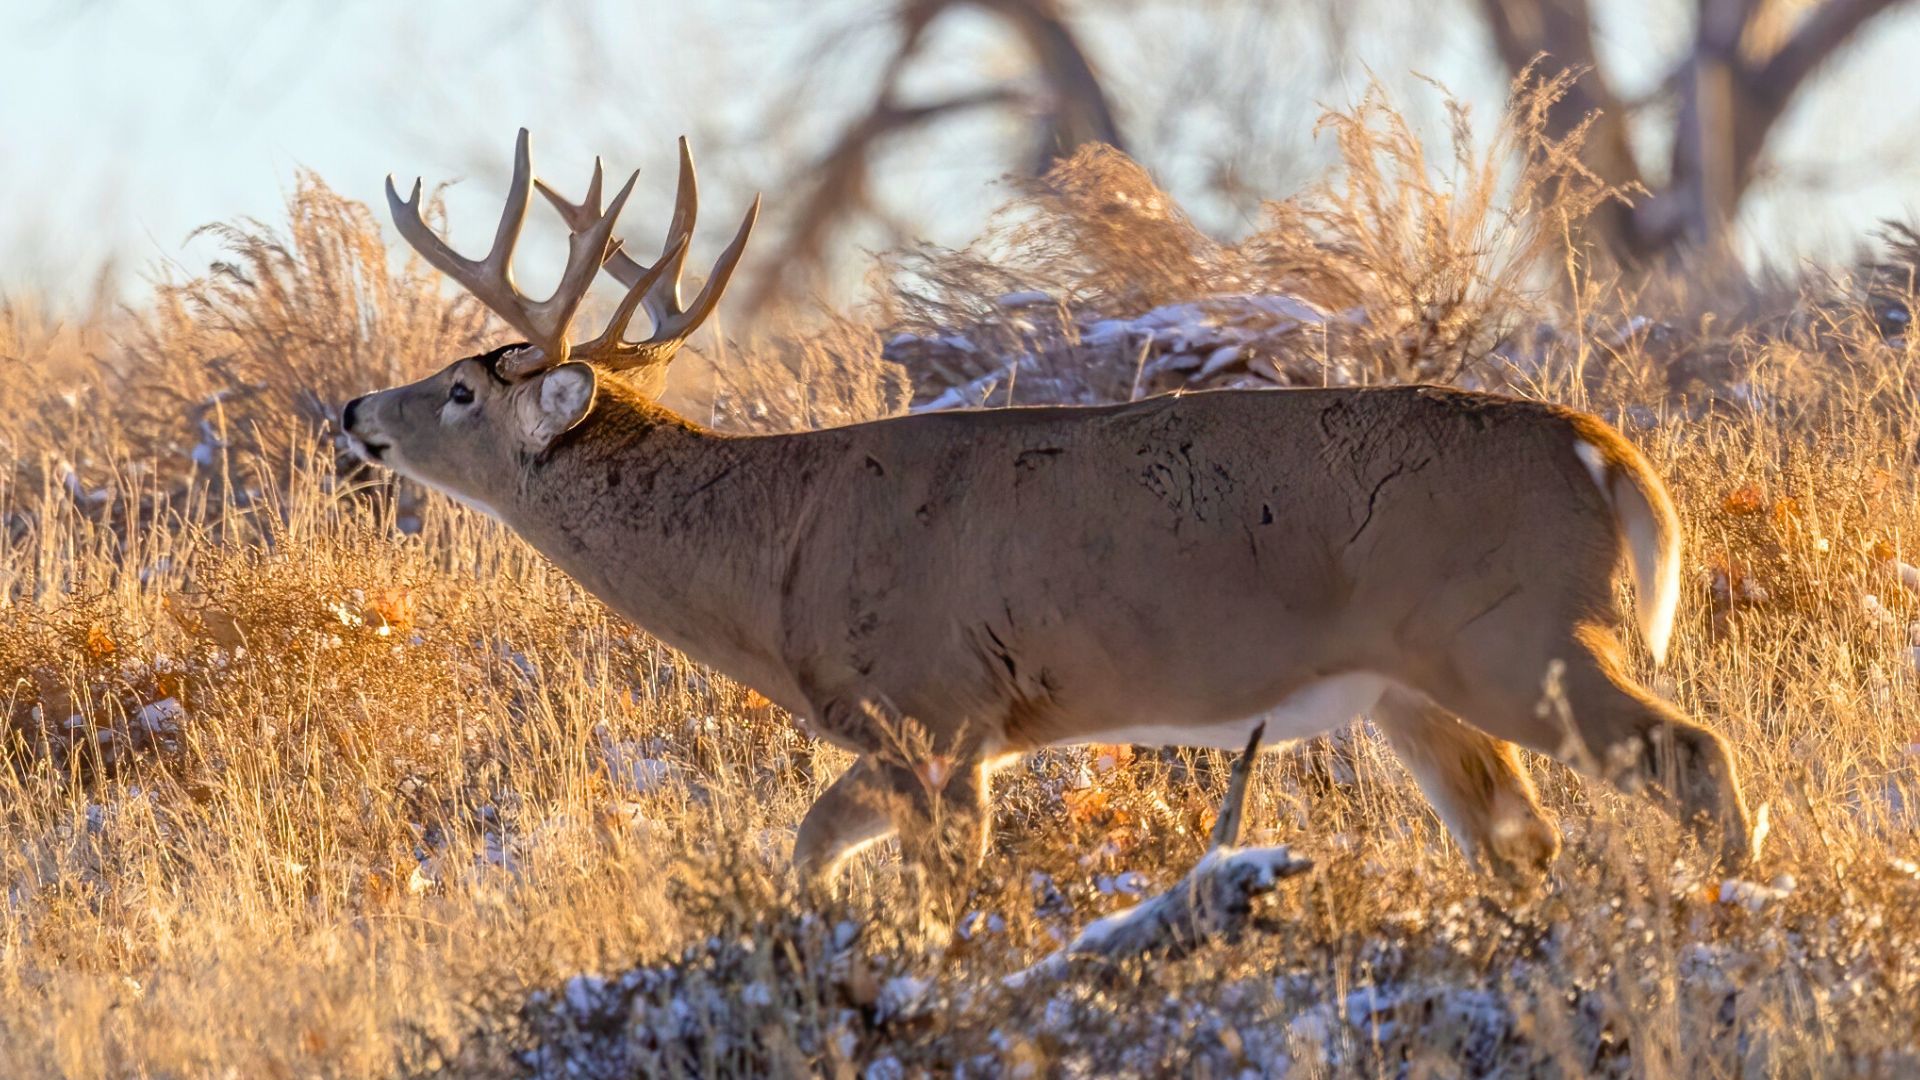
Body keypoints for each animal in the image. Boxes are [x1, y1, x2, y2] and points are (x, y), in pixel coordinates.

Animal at [343, 130, 1753, 921]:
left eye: (461, 390)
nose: (356, 408)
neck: (776, 554)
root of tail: (1607, 453)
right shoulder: (931, 736)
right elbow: (811, 846)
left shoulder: (931, 706)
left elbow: (924, 879)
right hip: (1419, 688)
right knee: (1520, 835)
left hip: (1517, 637)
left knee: (1693, 755)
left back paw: (1741, 906)